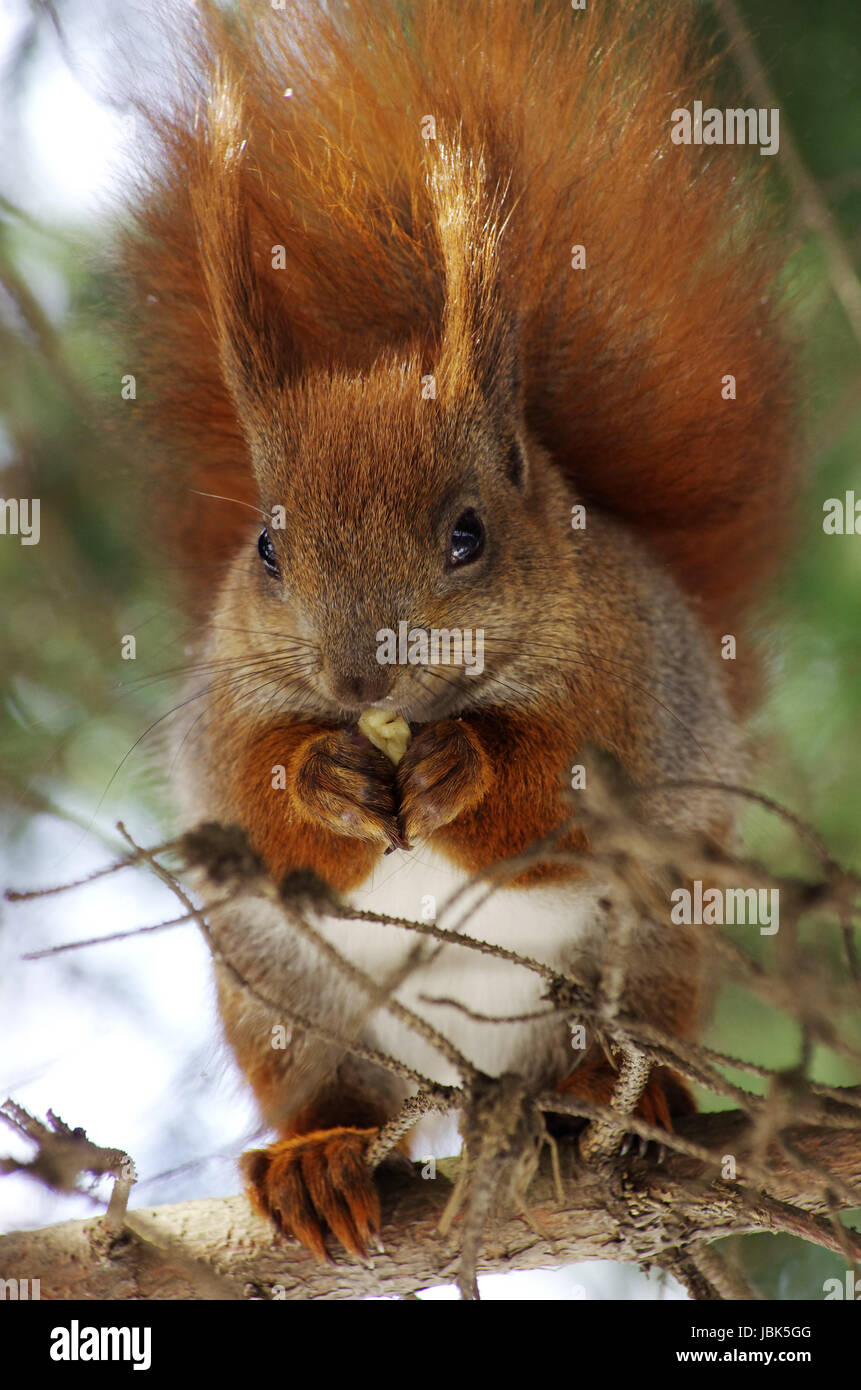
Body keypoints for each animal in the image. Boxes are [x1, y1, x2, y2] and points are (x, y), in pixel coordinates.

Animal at [119, 0, 795, 1260]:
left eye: (470, 533)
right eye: (267, 547)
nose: (357, 678)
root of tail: (475, 1076)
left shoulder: (631, 682)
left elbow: (570, 806)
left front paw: (466, 770)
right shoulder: (224, 707)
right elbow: (248, 802)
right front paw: (319, 776)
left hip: (651, 950)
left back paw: (622, 1096)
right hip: (283, 997)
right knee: (329, 1084)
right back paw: (321, 1154)